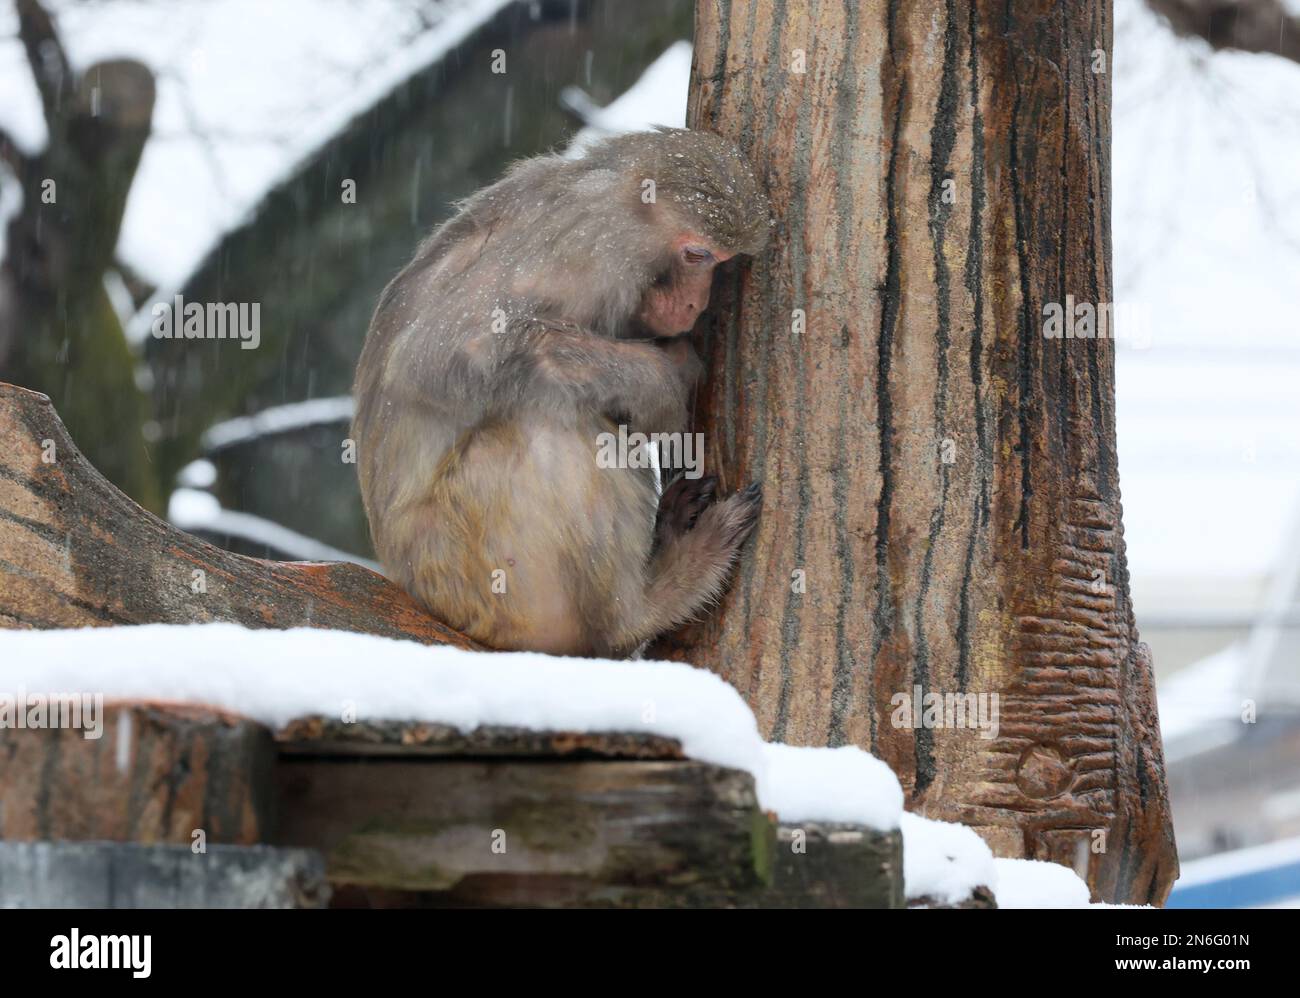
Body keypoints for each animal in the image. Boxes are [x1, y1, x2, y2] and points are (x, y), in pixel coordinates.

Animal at [352, 127, 769, 656]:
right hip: (491, 588)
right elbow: (439, 356)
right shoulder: (592, 251)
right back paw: (649, 601)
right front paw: (662, 379)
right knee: (542, 419)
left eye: (721, 261)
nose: (697, 303)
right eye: (696, 255)